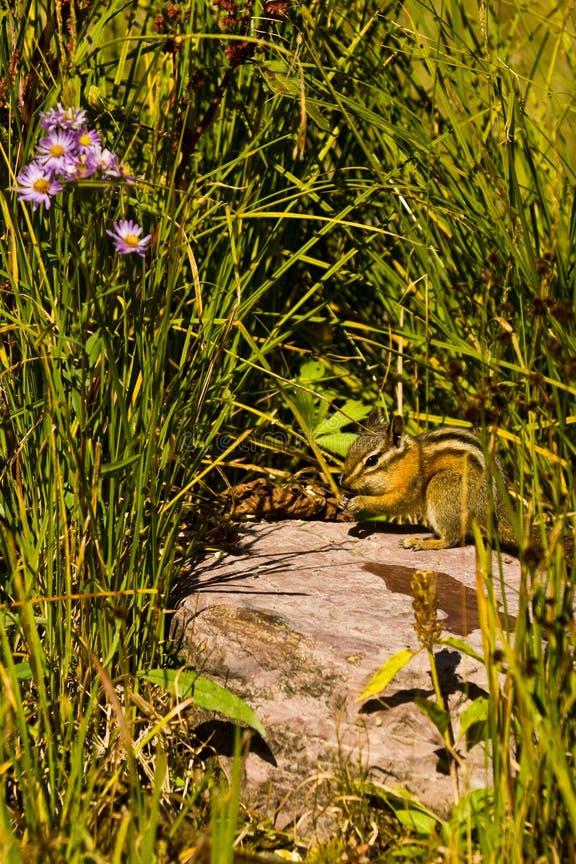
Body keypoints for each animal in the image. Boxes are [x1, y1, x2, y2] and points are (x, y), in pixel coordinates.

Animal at [339, 413, 527, 553]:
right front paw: (343, 500)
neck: (405, 461)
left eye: (371, 460)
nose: (342, 481)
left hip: (443, 486)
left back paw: (421, 543)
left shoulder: (410, 485)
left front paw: (360, 501)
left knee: (453, 539)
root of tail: (498, 513)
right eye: (349, 451)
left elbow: (394, 503)